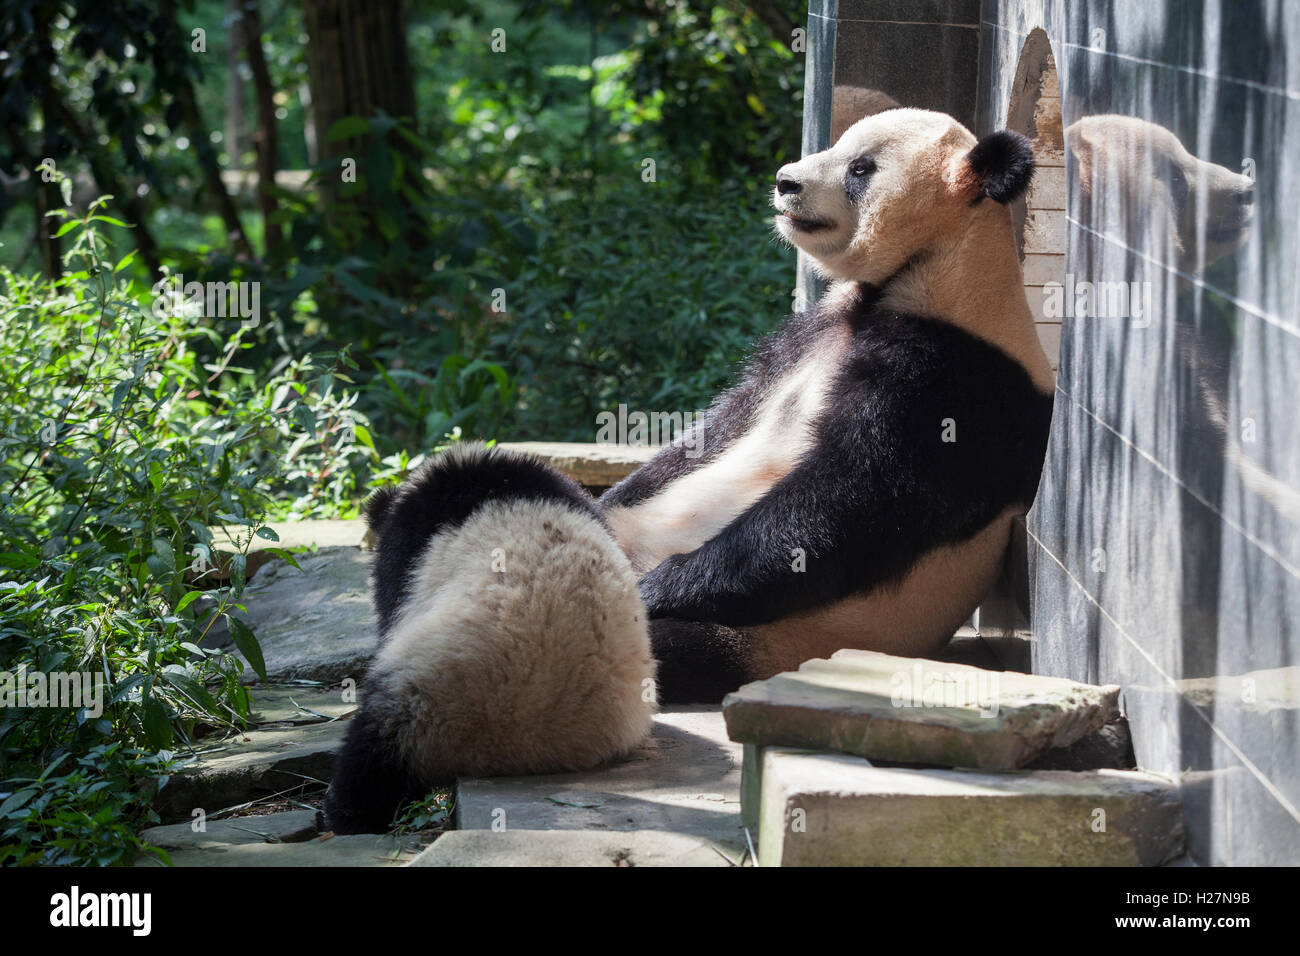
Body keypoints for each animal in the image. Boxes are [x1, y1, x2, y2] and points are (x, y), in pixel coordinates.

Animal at [600, 108, 1057, 703]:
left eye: (860, 167)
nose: (785, 181)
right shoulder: (811, 335)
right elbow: (718, 429)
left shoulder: (955, 379)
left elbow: (848, 503)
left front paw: (661, 585)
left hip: (783, 638)